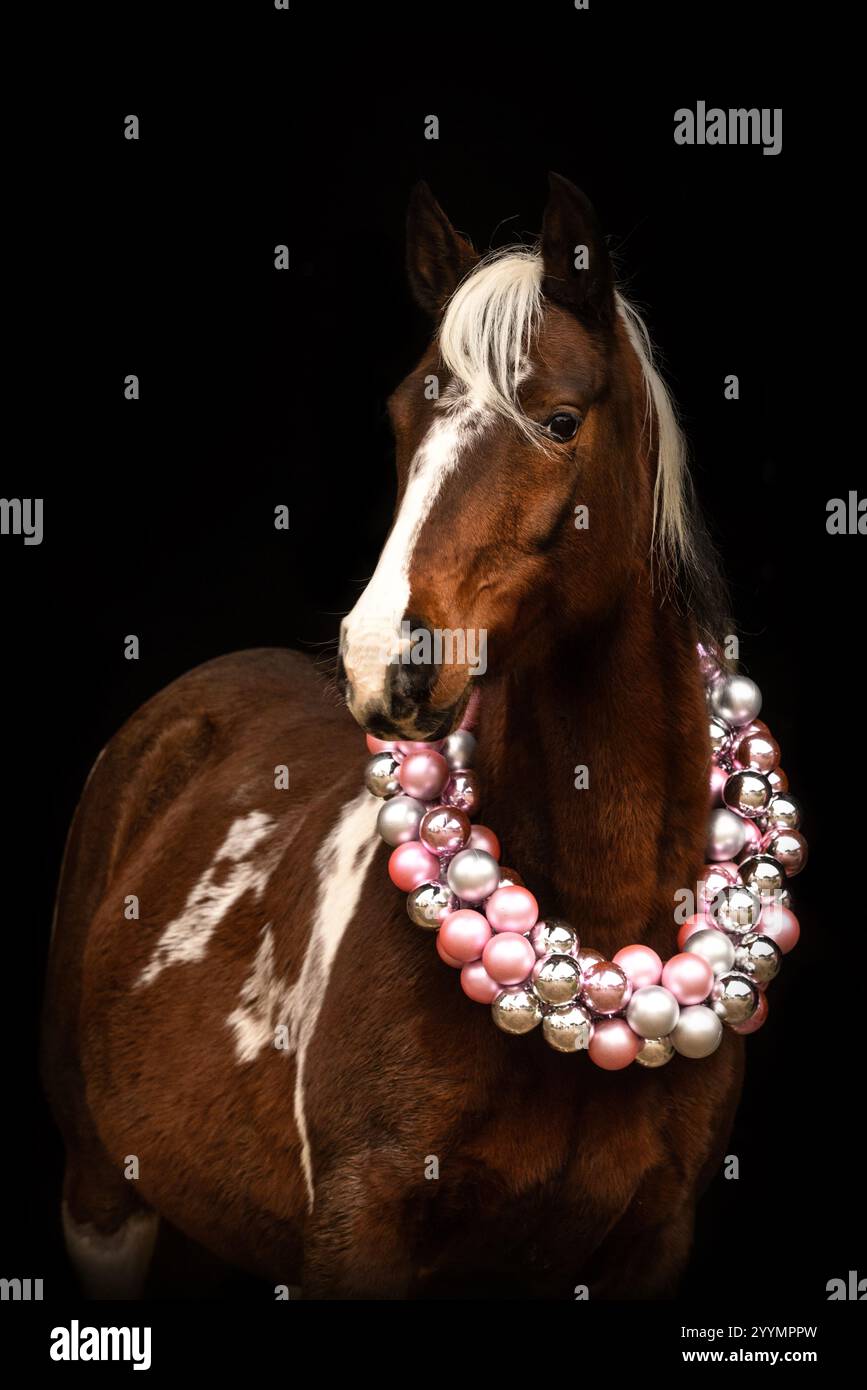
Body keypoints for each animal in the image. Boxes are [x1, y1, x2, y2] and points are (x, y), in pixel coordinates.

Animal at [41, 173, 743, 1300]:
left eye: (558, 419)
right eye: (405, 409)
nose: (386, 657)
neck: (593, 924)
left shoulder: (651, 1241)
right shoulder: (359, 1235)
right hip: (103, 1197)